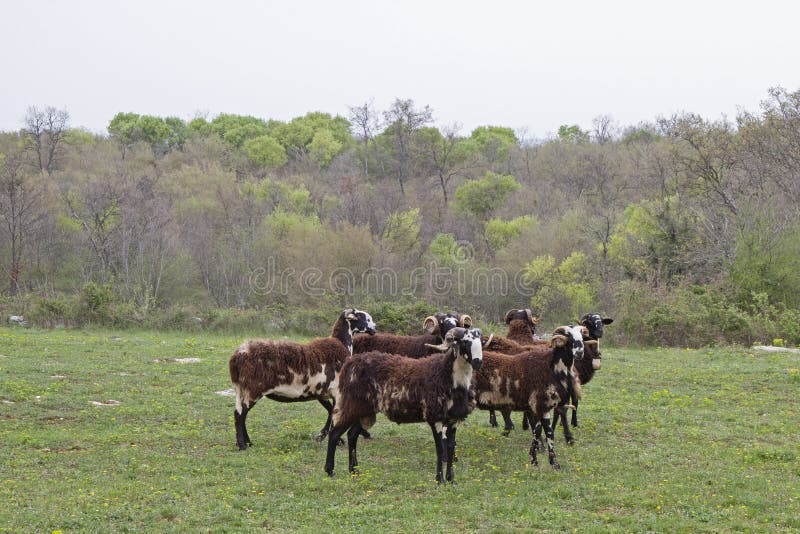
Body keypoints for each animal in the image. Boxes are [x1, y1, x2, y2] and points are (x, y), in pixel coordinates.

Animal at [229, 308, 376, 451]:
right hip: (253, 389)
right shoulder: (335, 391)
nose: (374, 329)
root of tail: (236, 357)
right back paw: (242, 445)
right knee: (239, 415)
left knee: (241, 413)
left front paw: (325, 436)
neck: (343, 344)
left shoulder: (321, 392)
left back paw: (247, 443)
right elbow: (333, 414)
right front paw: (330, 437)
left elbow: (330, 412)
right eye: (366, 318)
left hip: (244, 389)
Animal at [324, 327, 483, 484]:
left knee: (352, 435)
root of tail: (350, 362)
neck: (448, 375)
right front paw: (440, 480)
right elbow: (440, 449)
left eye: (481, 342)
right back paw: (330, 471)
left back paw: (354, 471)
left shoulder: (453, 419)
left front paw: (451, 479)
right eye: (464, 342)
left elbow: (450, 447)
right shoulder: (435, 417)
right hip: (352, 405)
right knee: (334, 433)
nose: (478, 362)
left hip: (364, 410)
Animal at [474, 326, 595, 469]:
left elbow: (547, 432)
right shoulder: (539, 404)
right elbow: (538, 431)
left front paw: (550, 462)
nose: (580, 352)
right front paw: (536, 458)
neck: (551, 366)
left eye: (582, 336)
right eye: (568, 336)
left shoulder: (545, 406)